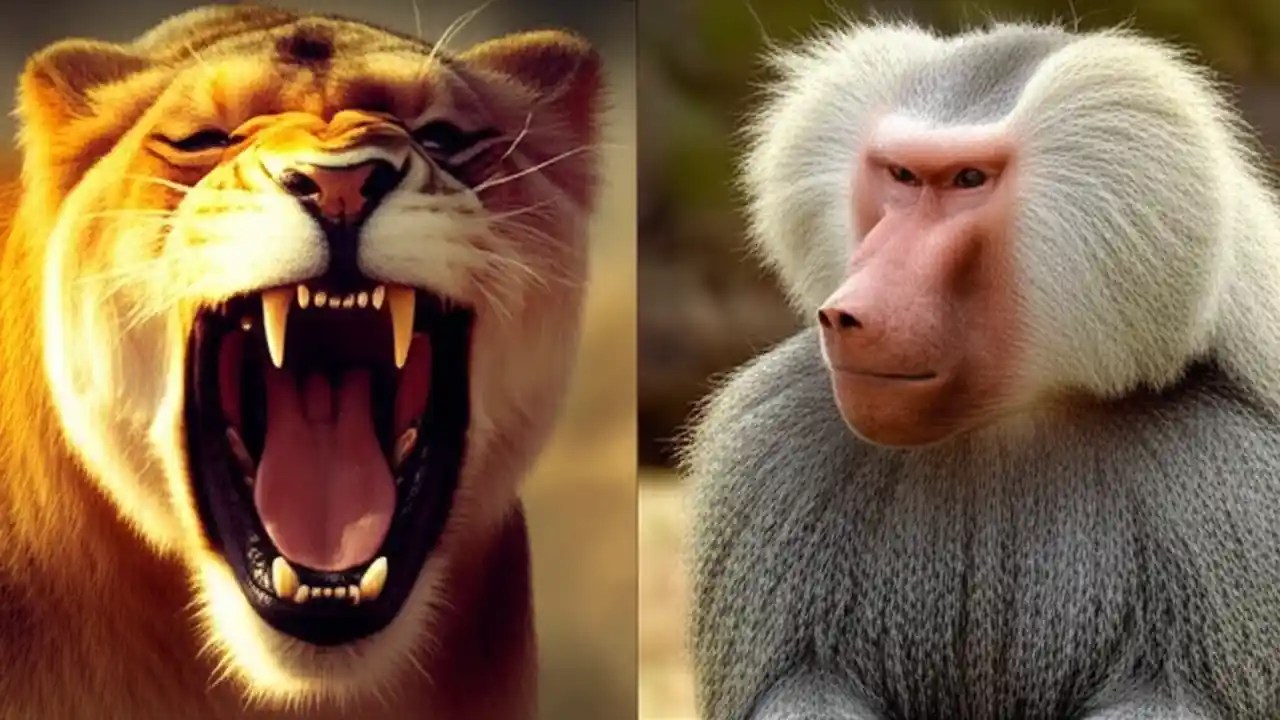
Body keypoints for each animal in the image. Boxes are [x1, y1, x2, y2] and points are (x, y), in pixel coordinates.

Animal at [683, 20, 1280, 720]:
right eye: (902, 175)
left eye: (969, 179)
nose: (849, 313)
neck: (1002, 421)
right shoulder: (778, 453)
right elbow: (801, 686)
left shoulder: (1228, 487)